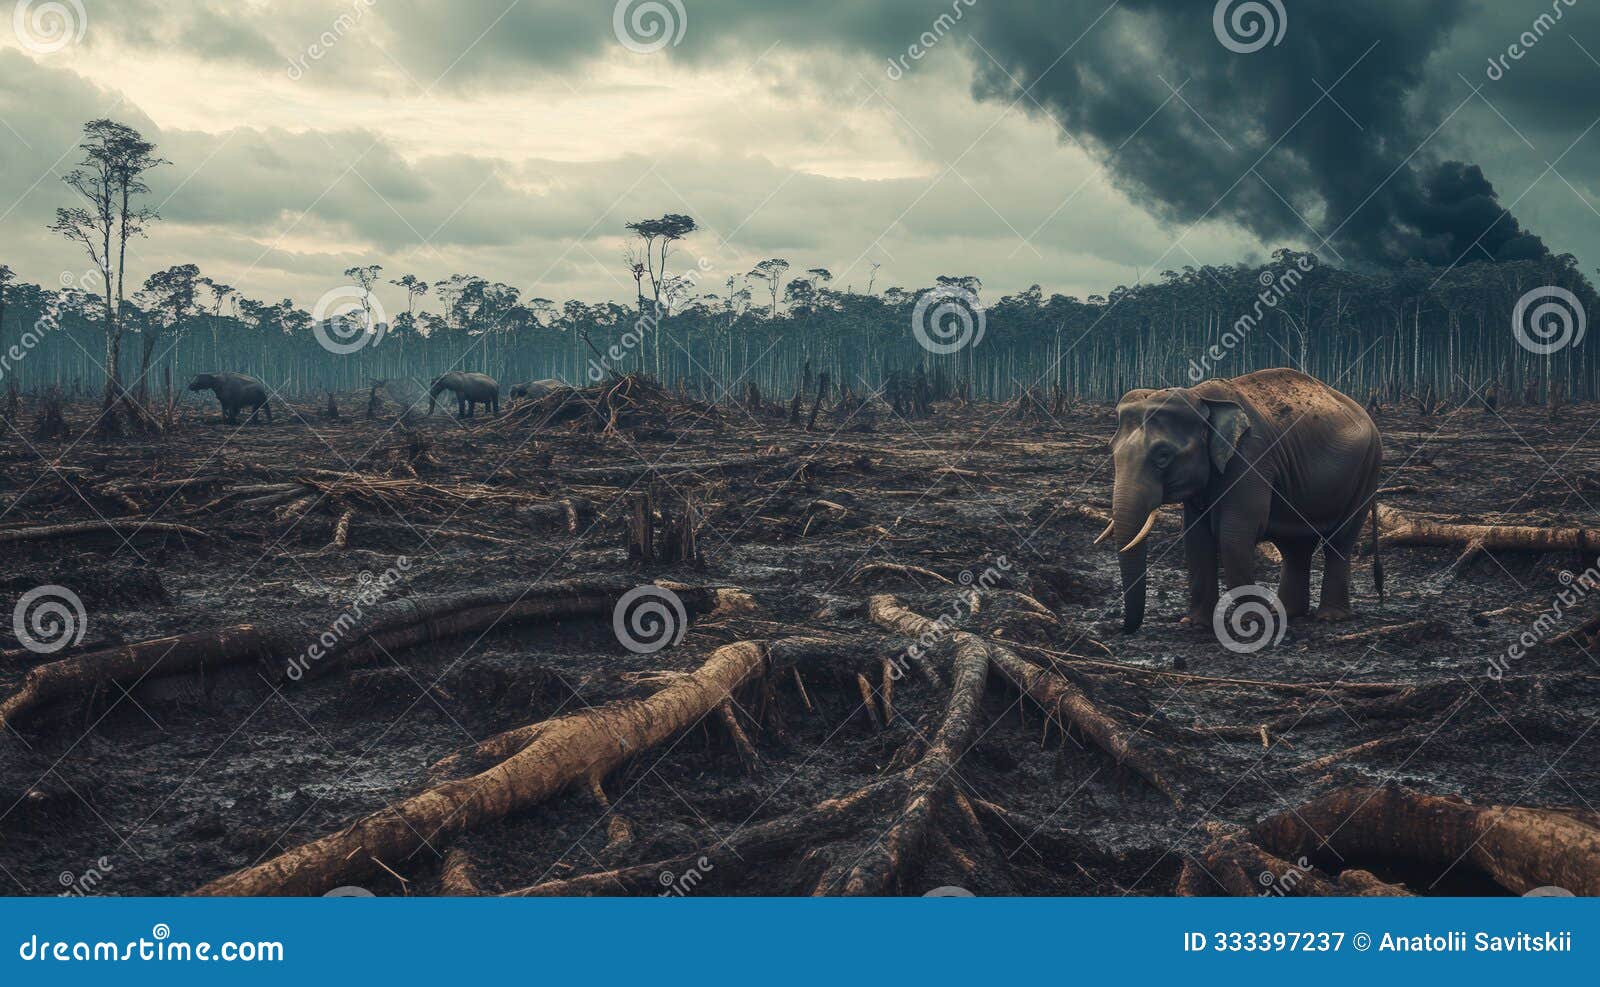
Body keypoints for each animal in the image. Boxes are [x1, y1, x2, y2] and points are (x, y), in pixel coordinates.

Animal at [1105, 368, 1383, 634]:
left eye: (1163, 455)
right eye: (1112, 451)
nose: (1123, 630)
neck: (1201, 397)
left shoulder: (1250, 458)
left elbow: (1234, 535)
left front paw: (1251, 622)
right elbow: (1196, 539)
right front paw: (1194, 624)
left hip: (1367, 470)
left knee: (1340, 540)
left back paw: (1329, 617)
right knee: (1296, 546)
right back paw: (1286, 612)